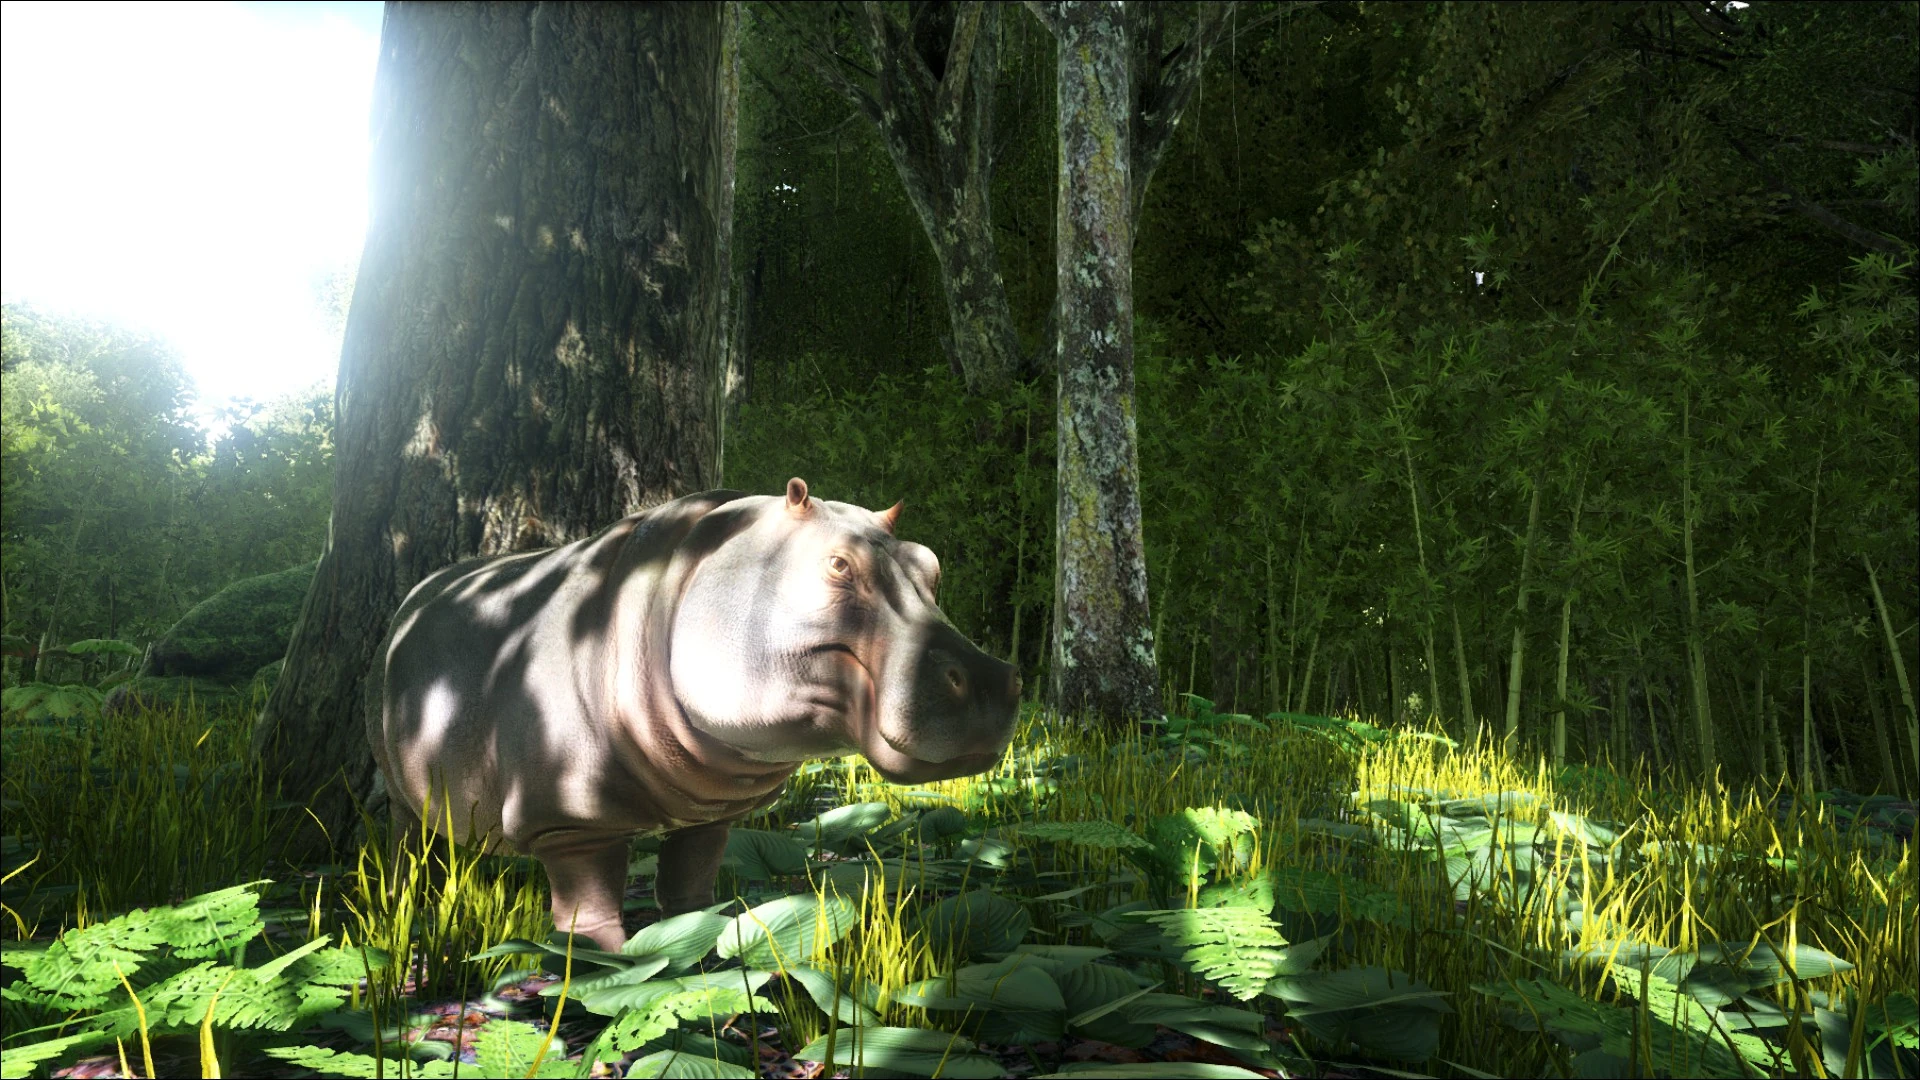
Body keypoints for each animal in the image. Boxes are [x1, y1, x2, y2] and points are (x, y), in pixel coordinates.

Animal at [368, 478, 1020, 951]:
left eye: (930, 563)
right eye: (838, 565)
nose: (993, 679)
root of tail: (414, 596)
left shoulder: (709, 816)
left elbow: (689, 902)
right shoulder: (571, 823)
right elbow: (590, 923)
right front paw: (605, 971)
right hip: (402, 793)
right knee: (404, 846)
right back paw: (405, 903)